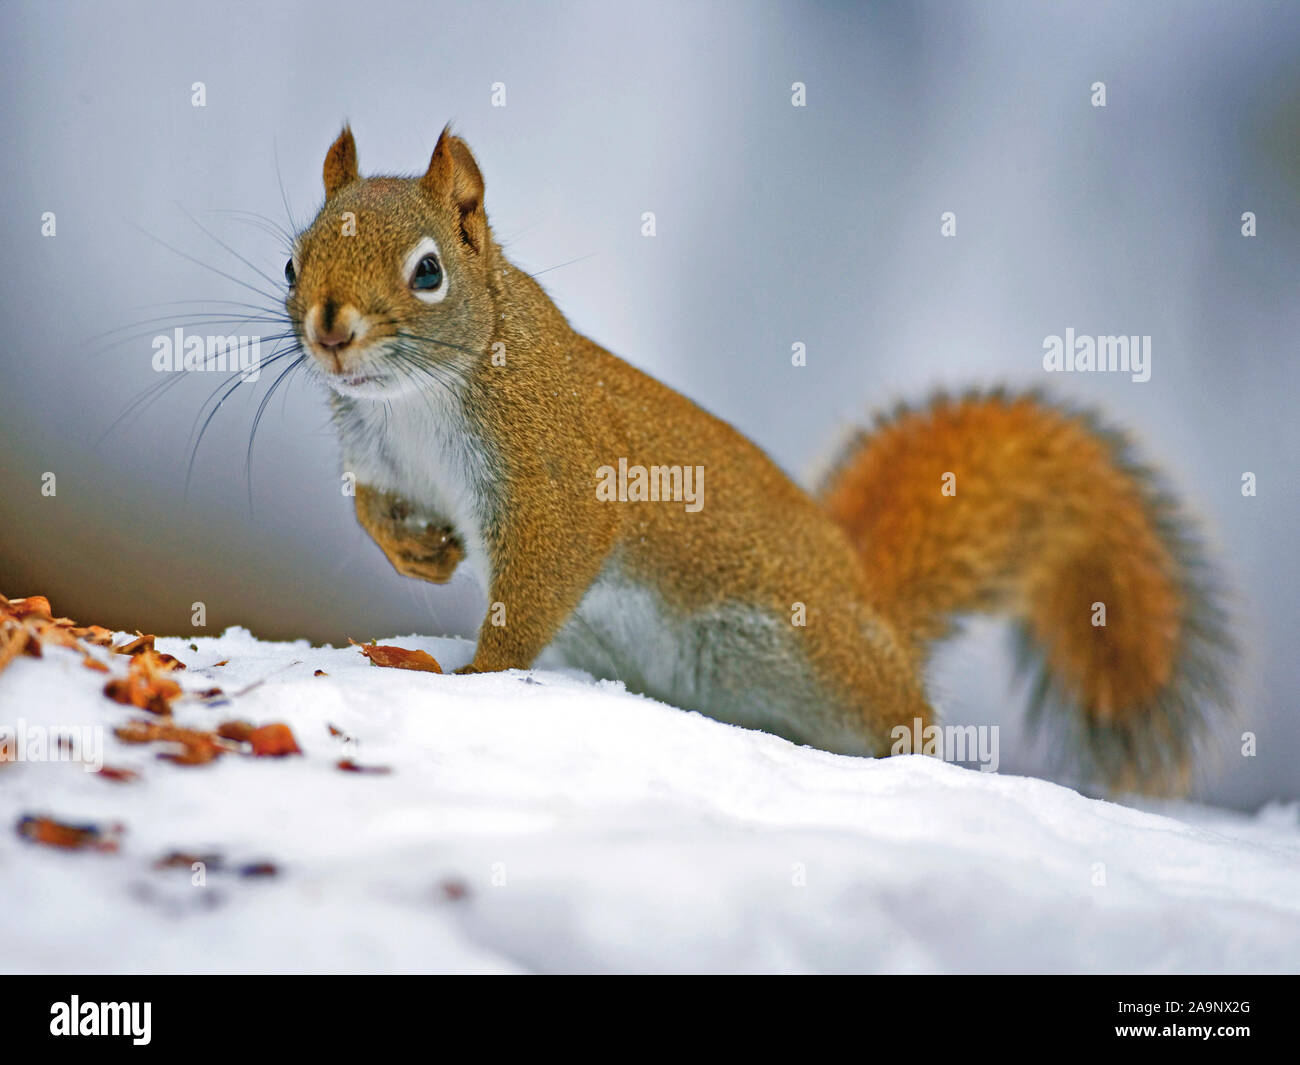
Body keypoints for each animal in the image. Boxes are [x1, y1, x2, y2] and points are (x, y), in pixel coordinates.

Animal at [284, 126, 1233, 795]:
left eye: (429, 272)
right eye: (294, 261)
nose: (330, 329)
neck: (413, 401)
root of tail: (873, 602)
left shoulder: (558, 470)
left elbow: (544, 579)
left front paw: (472, 673)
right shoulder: (386, 462)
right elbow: (370, 507)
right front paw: (420, 553)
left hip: (829, 660)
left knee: (908, 717)